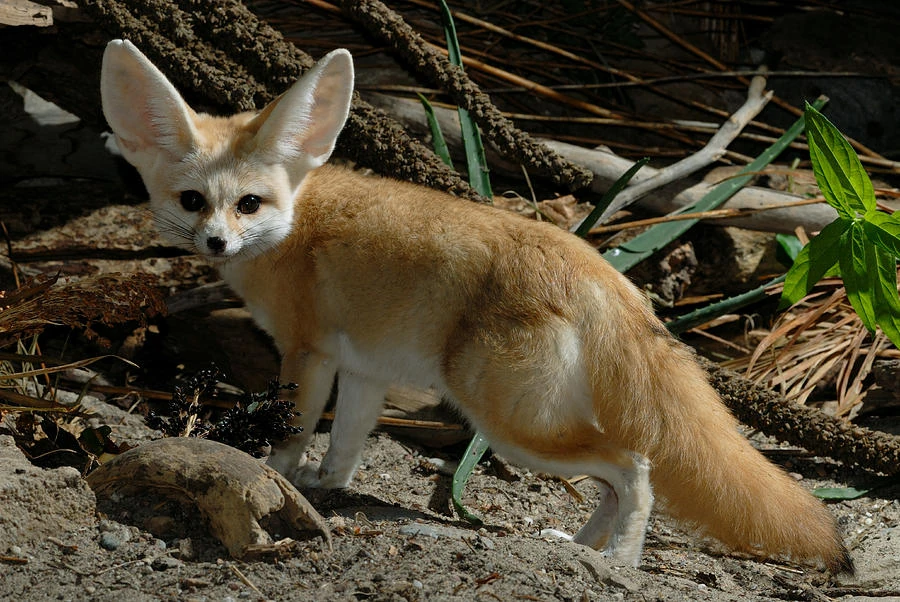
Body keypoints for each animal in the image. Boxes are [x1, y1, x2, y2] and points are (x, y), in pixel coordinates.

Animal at [99, 38, 852, 572]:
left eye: (249, 203)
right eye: (193, 201)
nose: (217, 242)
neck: (296, 223)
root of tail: (594, 266)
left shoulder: (306, 354)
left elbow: (291, 435)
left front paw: (280, 479)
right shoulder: (364, 369)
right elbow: (345, 446)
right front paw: (325, 487)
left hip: (507, 423)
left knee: (634, 468)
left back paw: (621, 561)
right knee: (616, 479)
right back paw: (580, 547)